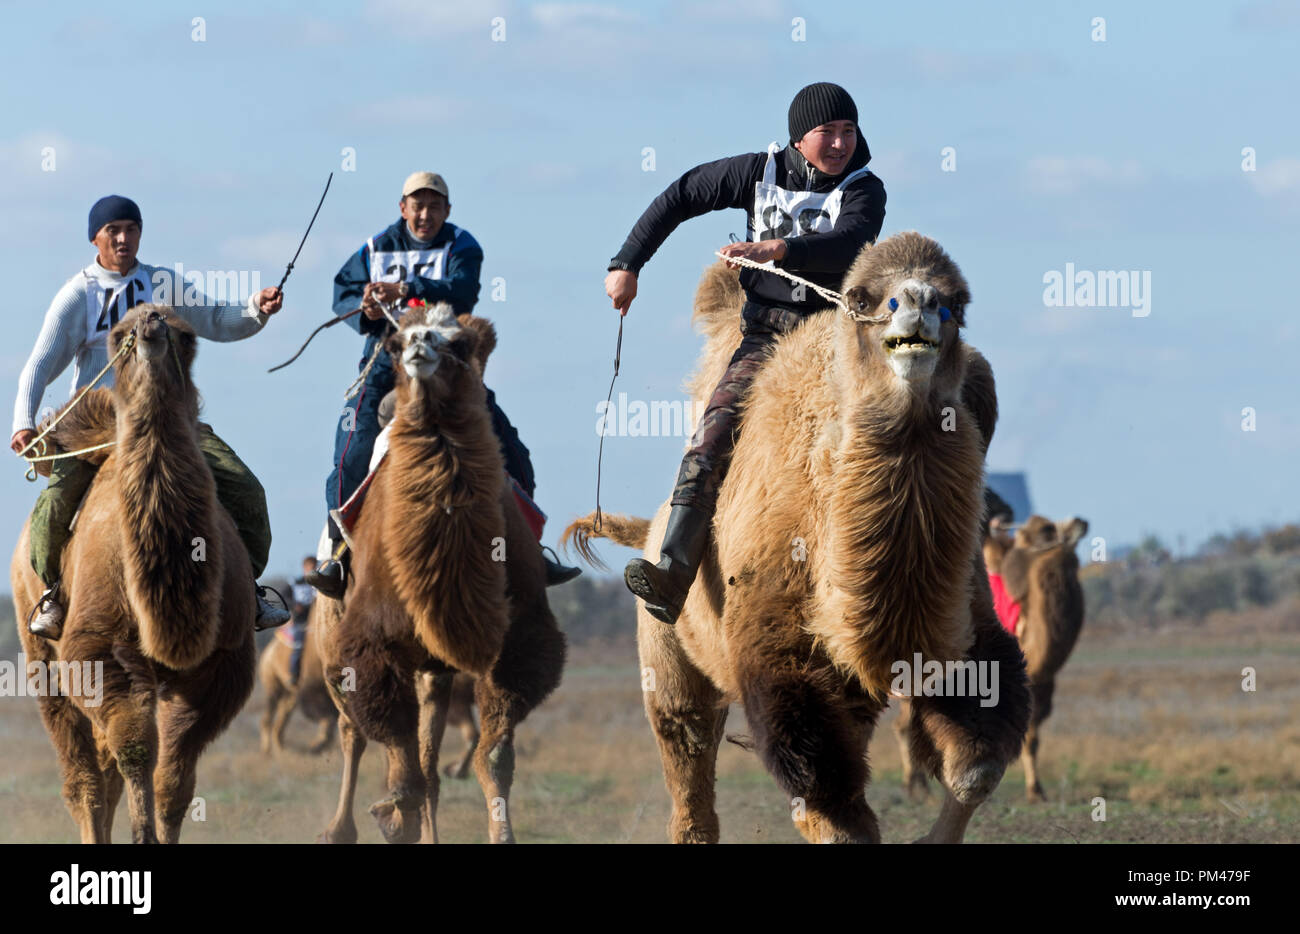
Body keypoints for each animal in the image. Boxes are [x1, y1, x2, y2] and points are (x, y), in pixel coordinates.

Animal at [9, 306, 256, 843]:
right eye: (118, 335)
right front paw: (142, 835)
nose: (151, 325)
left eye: (187, 335)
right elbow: (137, 748)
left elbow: (174, 775)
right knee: (83, 773)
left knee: (106, 767)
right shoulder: (98, 650)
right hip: (37, 646)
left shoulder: (224, 662)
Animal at [259, 612, 480, 776]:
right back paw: (271, 749)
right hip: (274, 685)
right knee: (270, 715)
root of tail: (269, 651)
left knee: (283, 715)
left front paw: (455, 770)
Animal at [317, 305, 565, 844]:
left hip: (433, 669)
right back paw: (340, 826)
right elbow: (401, 766)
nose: (418, 346)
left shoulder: (514, 642)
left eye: (462, 343)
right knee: (353, 733)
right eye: (392, 343)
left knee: (427, 763)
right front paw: (390, 816)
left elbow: (492, 757)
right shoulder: (371, 644)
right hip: (329, 638)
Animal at [566, 232, 1029, 843]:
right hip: (666, 654)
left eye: (957, 301)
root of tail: (648, 532)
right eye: (861, 297)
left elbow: (977, 767)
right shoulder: (775, 653)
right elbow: (828, 800)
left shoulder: (961, 630)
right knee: (687, 746)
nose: (920, 302)